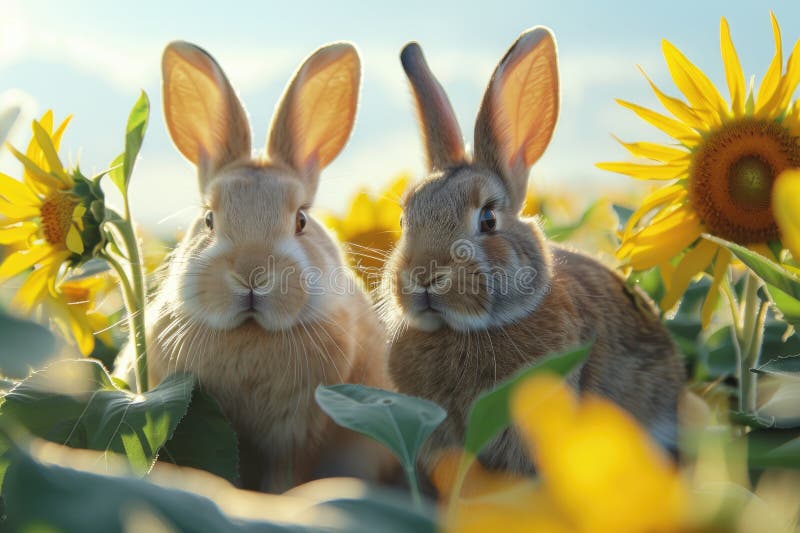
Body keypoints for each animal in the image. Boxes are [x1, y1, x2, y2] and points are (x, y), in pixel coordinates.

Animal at [125, 41, 392, 492]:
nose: (252, 275)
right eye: (209, 219)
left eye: (301, 220)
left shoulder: (296, 436)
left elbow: (283, 481)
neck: (252, 334)